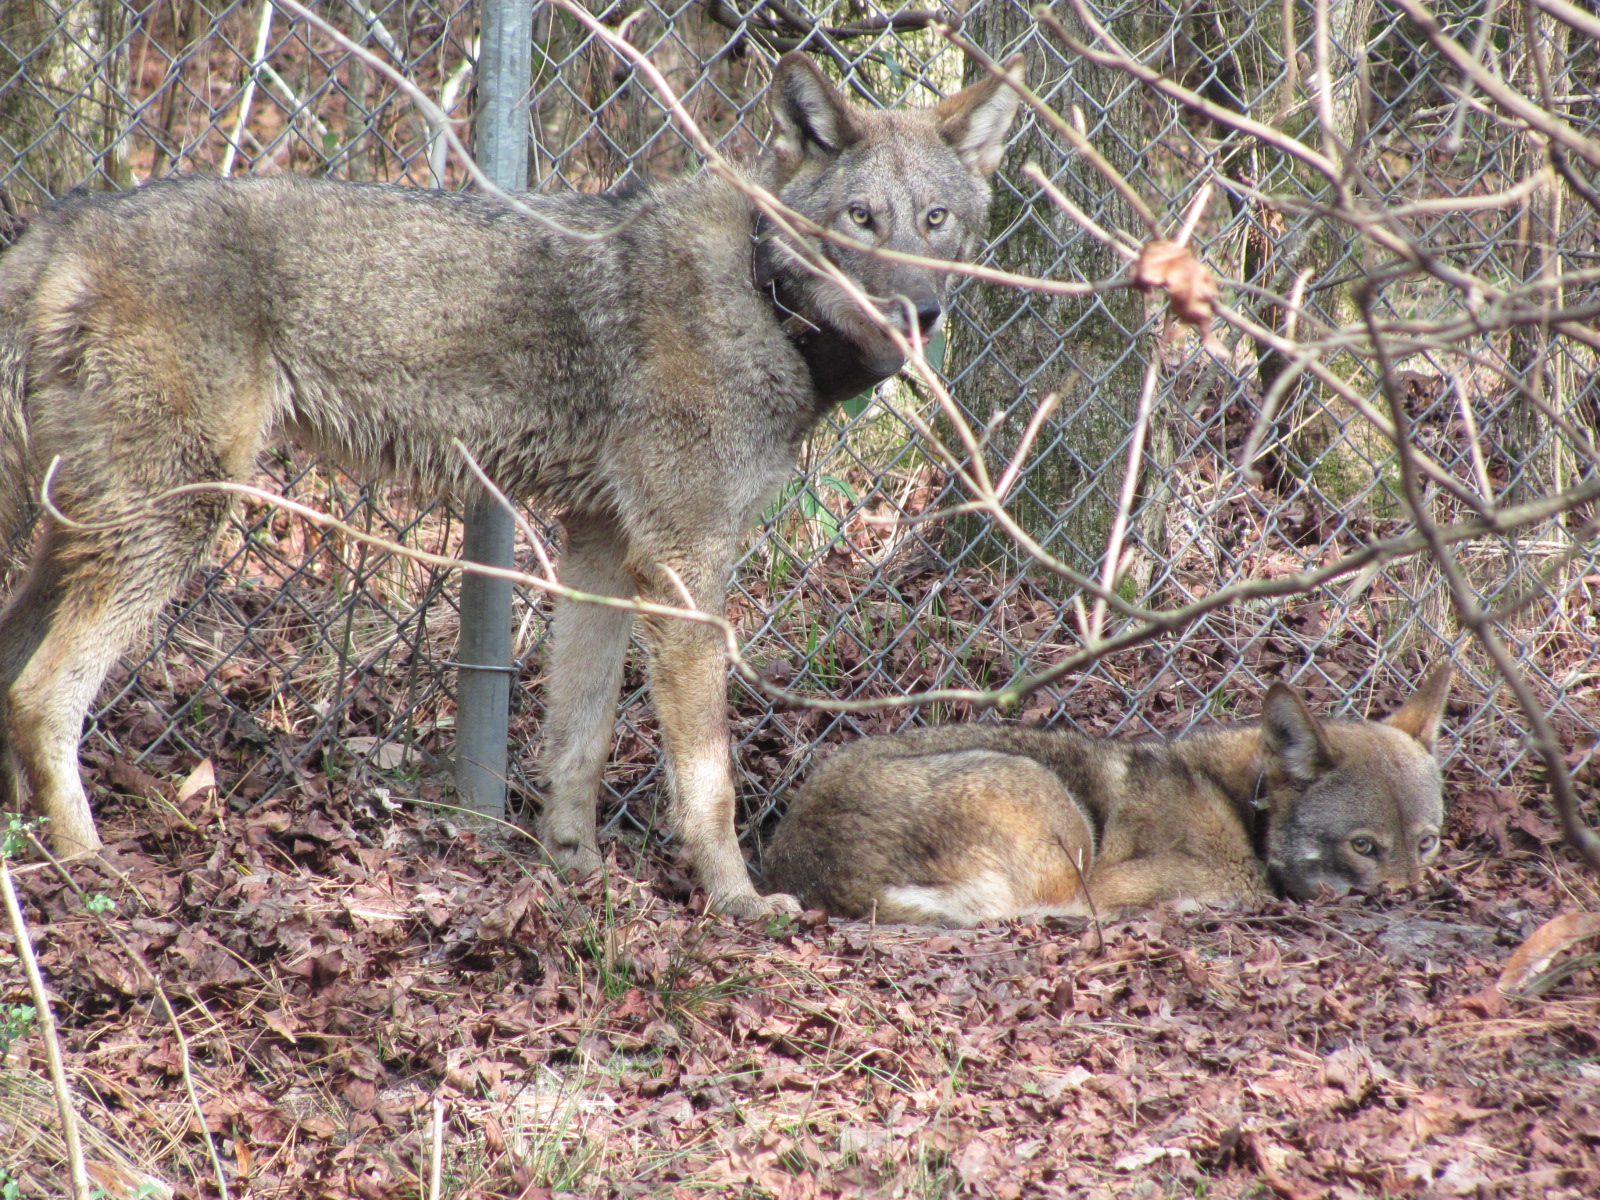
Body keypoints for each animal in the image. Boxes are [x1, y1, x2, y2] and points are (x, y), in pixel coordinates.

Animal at [0, 53, 1023, 918]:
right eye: (862, 217)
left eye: (935, 220)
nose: (919, 310)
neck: (759, 291)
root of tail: (64, 223)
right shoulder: (684, 566)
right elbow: (711, 780)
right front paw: (736, 901)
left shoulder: (602, 548)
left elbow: (580, 739)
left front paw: (573, 870)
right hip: (172, 523)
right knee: (46, 693)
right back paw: (90, 873)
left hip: (84, 532)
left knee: (13, 674)